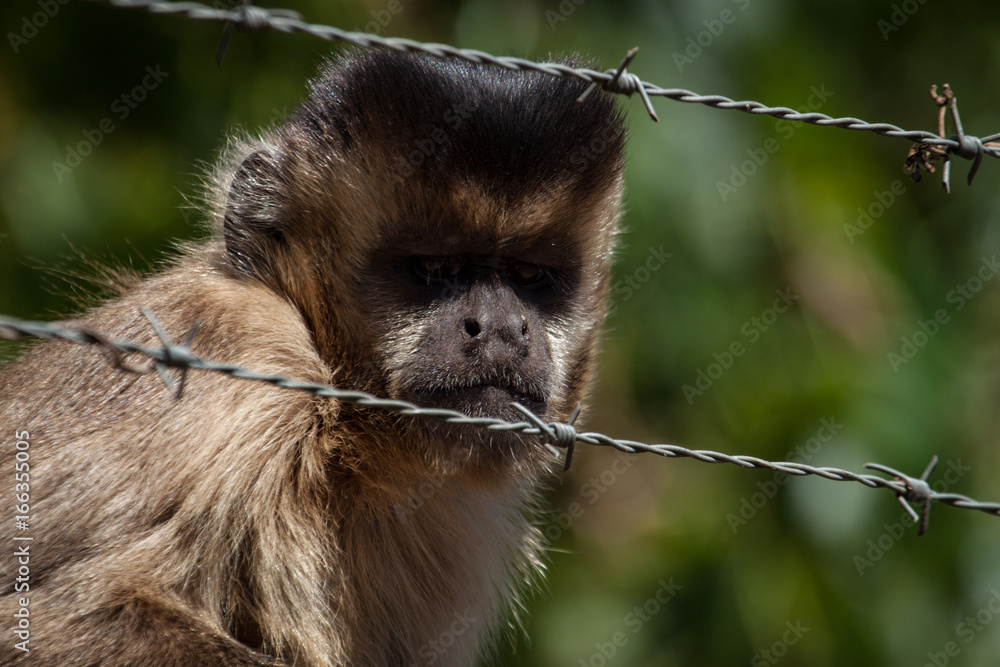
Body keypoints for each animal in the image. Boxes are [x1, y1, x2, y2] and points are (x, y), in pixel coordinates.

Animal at [0, 48, 626, 666]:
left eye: (530, 275)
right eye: (436, 267)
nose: (500, 328)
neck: (348, 430)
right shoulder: (245, 357)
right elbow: (45, 616)